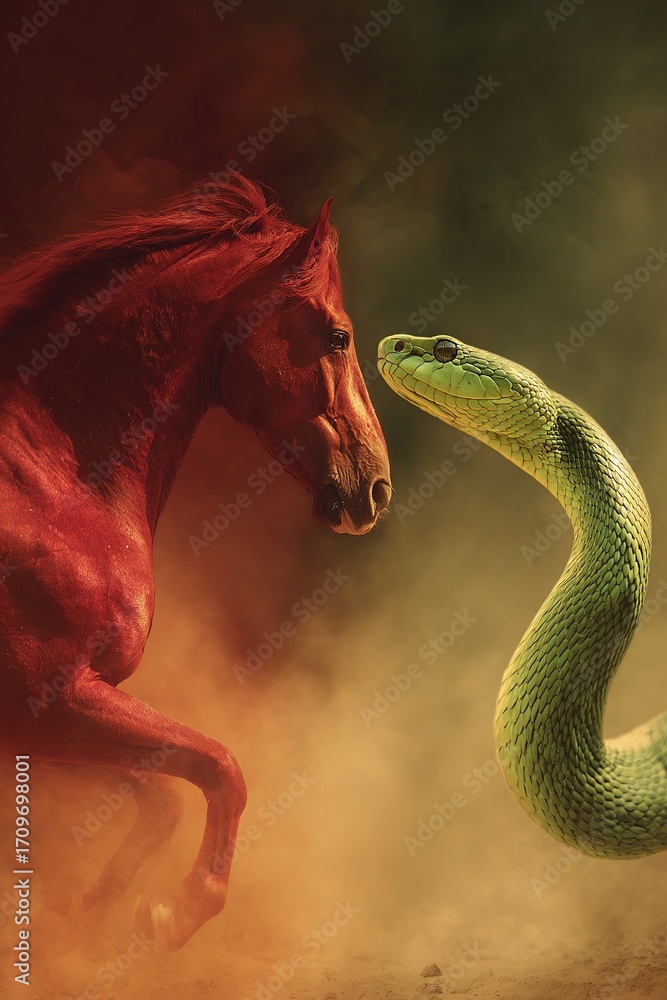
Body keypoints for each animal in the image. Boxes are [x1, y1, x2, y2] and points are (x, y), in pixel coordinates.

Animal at [0, 175, 391, 951]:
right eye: (336, 334)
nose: (377, 487)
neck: (48, 479)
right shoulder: (51, 702)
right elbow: (223, 770)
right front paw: (177, 910)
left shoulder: (55, 719)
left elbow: (164, 801)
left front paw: (90, 916)